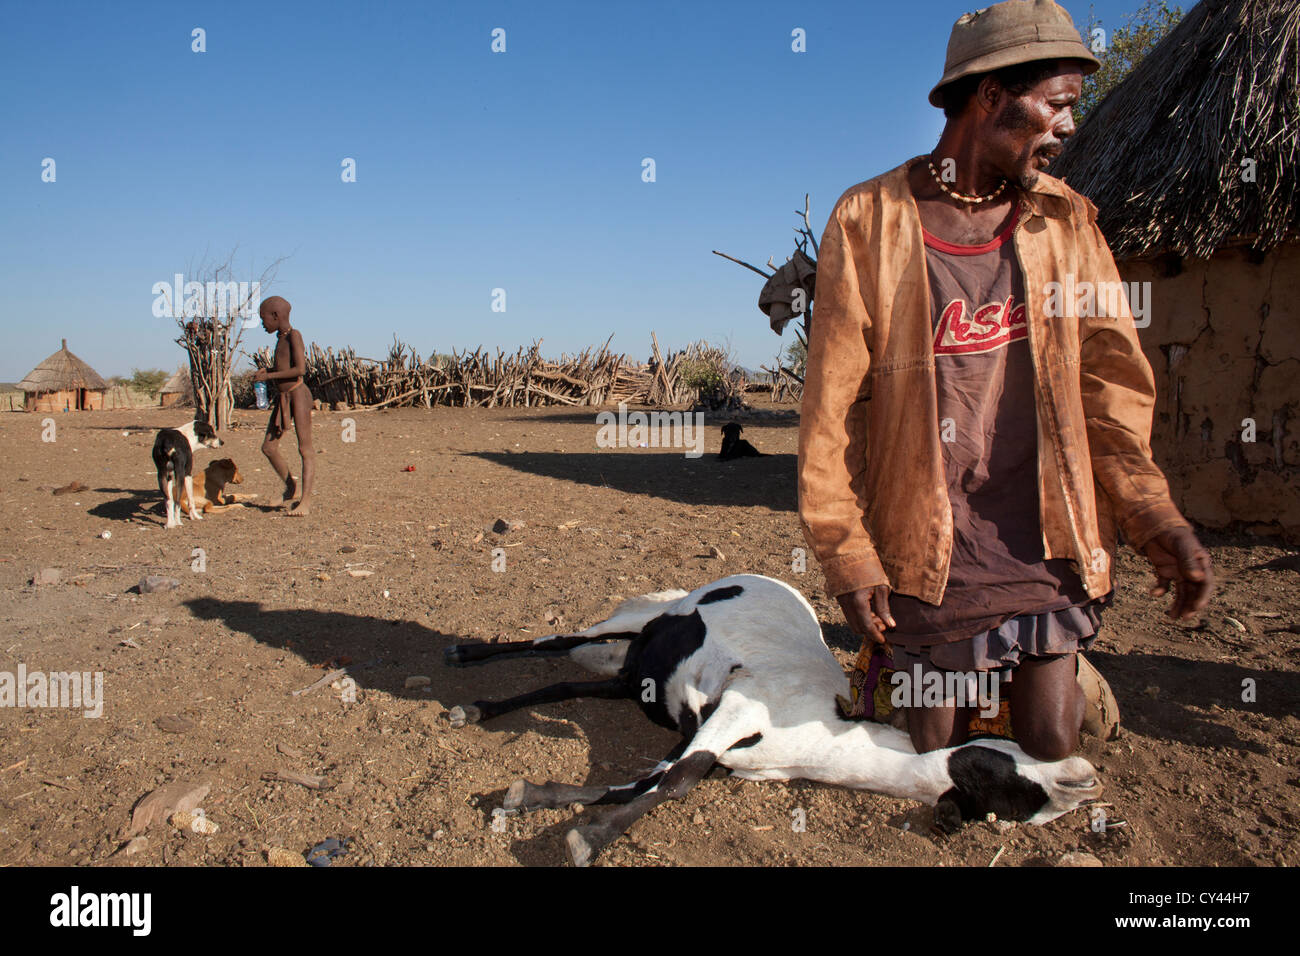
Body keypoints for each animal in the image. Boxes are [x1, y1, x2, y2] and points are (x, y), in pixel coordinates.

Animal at [445, 574, 1103, 866]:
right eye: (1006, 766)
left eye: (1008, 812)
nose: (1086, 777)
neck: (824, 738)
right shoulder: (736, 708)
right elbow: (673, 784)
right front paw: (589, 839)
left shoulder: (711, 745)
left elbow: (638, 784)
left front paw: (534, 797)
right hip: (639, 622)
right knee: (554, 642)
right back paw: (467, 664)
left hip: (632, 676)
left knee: (565, 679)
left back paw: (479, 707)